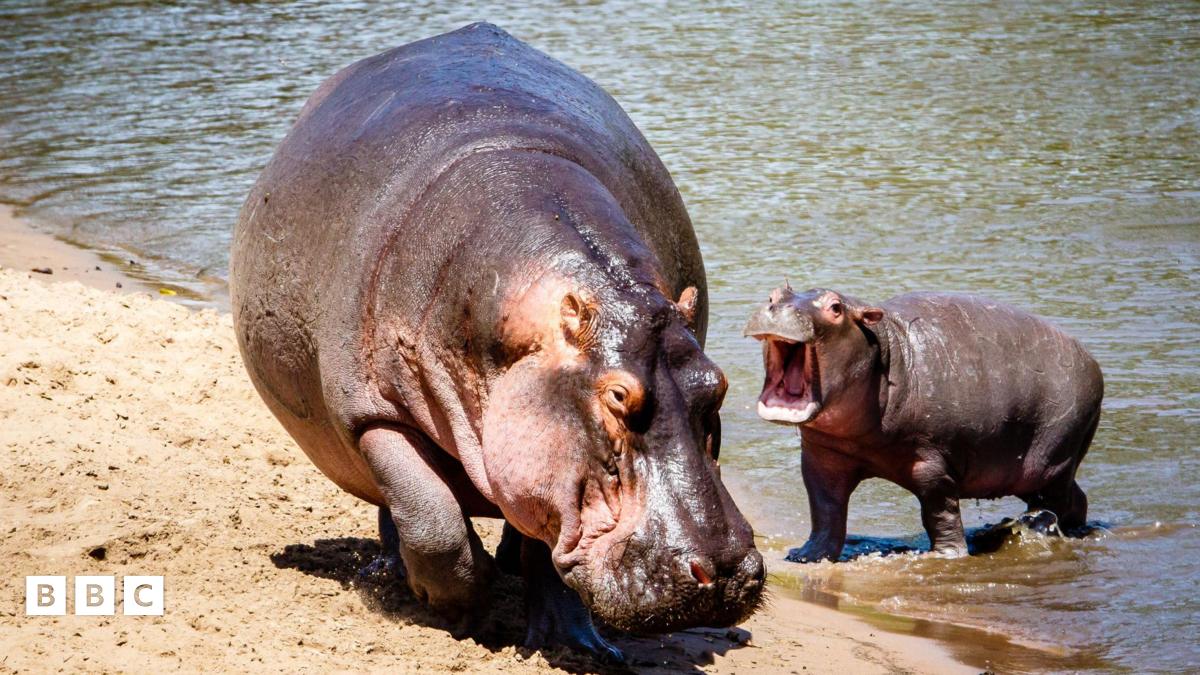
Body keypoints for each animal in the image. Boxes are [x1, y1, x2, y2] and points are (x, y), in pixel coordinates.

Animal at [230, 23, 763, 661]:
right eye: (617, 396)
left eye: (719, 385)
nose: (728, 571)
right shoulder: (369, 412)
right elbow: (432, 521)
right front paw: (457, 611)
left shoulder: (544, 465)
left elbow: (544, 545)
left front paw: (574, 643)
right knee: (401, 510)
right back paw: (395, 573)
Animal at [743, 286, 1103, 562]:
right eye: (774, 294)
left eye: (835, 307)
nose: (778, 307)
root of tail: (1093, 362)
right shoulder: (822, 459)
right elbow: (825, 509)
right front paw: (807, 555)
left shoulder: (931, 463)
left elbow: (939, 512)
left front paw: (947, 556)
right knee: (1075, 498)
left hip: (1054, 462)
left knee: (1051, 506)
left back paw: (1045, 534)